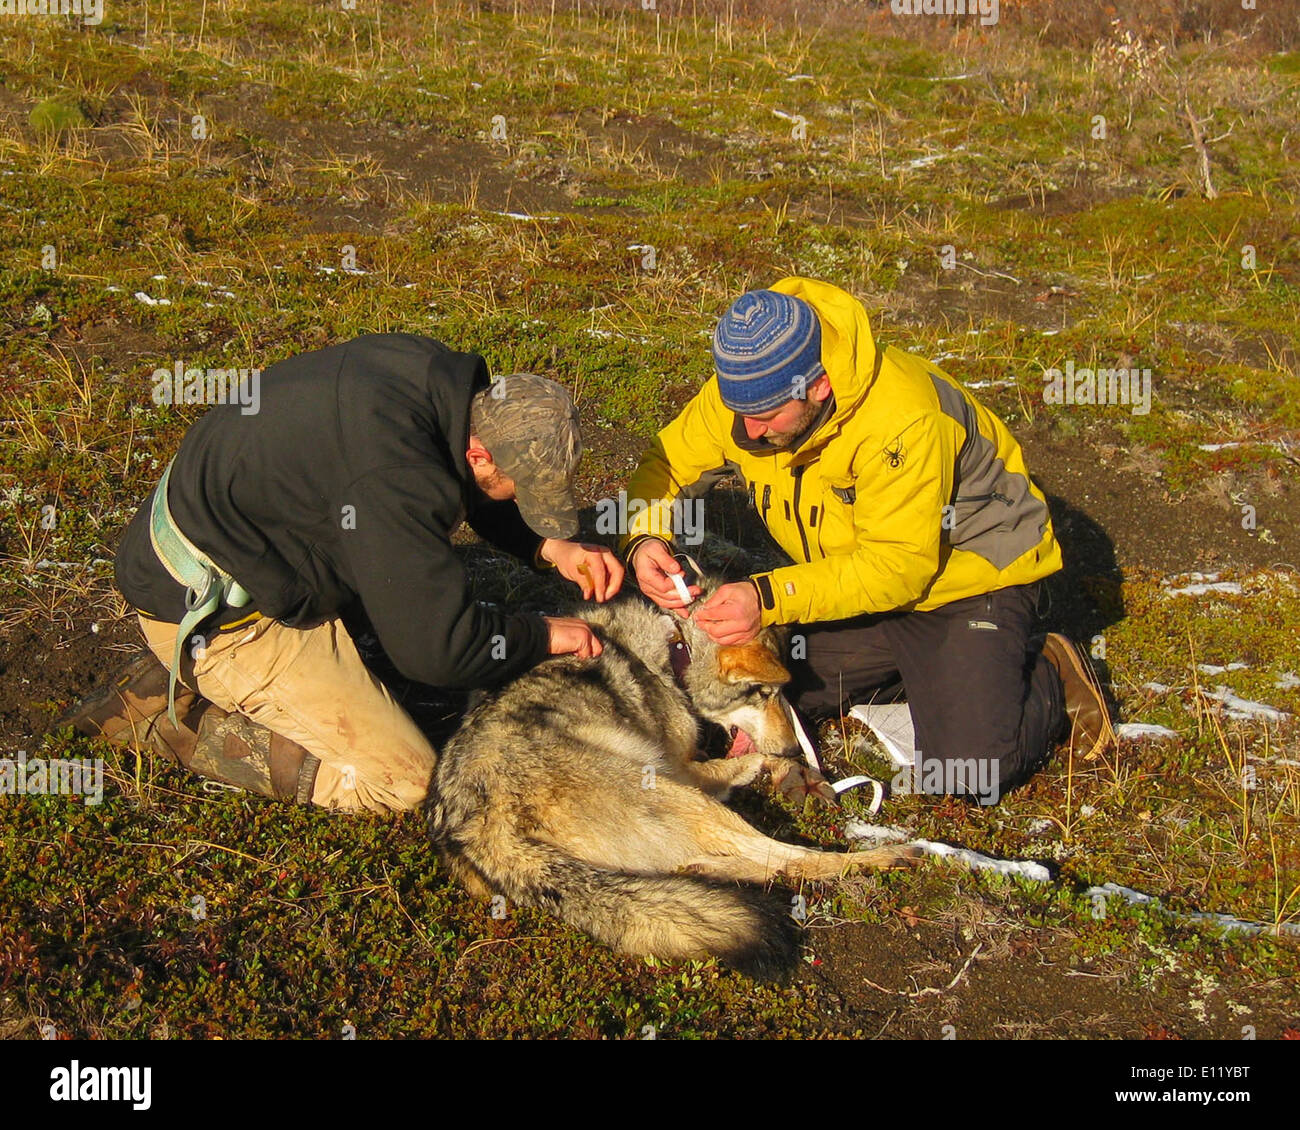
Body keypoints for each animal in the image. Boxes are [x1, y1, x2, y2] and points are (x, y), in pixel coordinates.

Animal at [426, 591, 919, 977]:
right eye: (766, 693)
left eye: (780, 696)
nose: (797, 747)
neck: (672, 652)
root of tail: (474, 831)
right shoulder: (685, 768)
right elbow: (753, 759)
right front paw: (788, 768)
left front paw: (797, 774)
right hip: (687, 799)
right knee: (796, 861)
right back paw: (892, 856)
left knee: (738, 866)